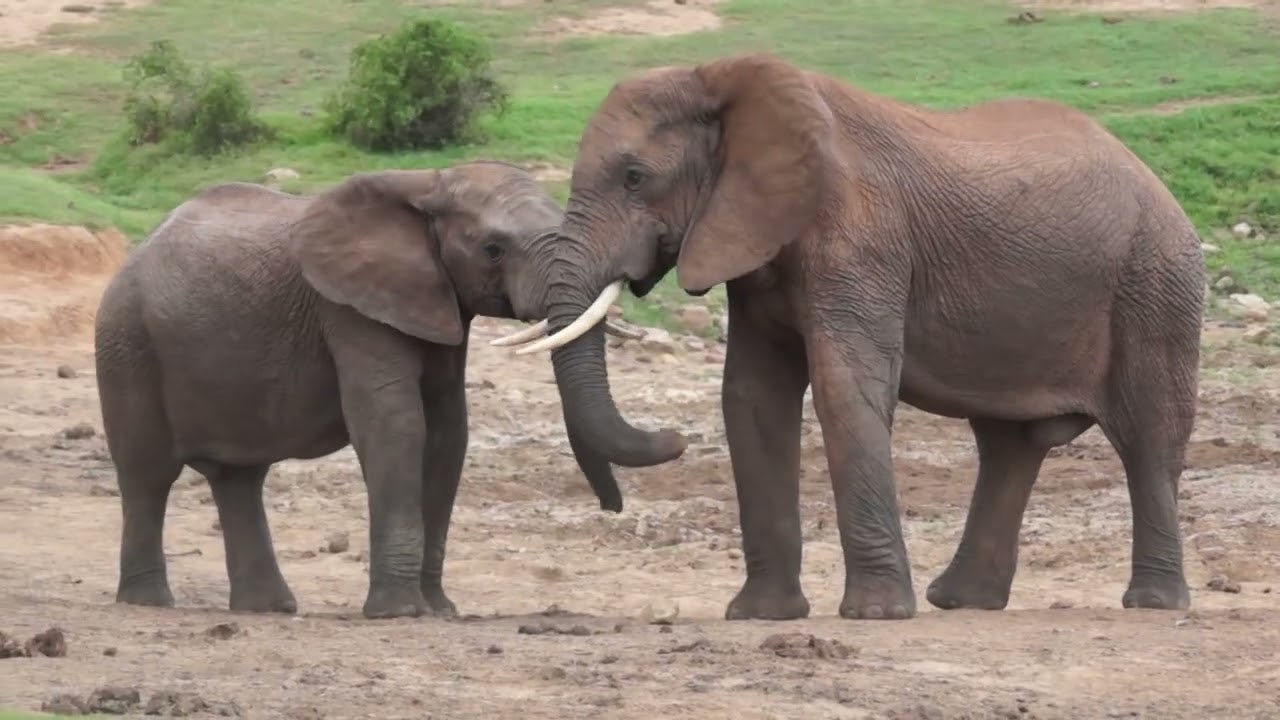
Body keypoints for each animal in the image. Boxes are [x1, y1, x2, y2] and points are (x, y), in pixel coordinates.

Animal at [93, 160, 644, 620]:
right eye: (493, 250)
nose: (611, 505)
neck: (429, 184)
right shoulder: (350, 309)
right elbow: (395, 425)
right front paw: (399, 613)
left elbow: (448, 434)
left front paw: (439, 610)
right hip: (126, 344)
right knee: (148, 473)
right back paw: (149, 602)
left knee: (239, 478)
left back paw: (267, 608)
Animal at [491, 53, 1206, 621]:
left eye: (635, 178)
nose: (672, 441)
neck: (728, 84)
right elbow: (751, 399)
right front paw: (761, 616)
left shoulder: (862, 239)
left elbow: (844, 388)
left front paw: (876, 615)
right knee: (1009, 446)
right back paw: (962, 601)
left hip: (1156, 284)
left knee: (1148, 438)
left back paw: (1153, 603)